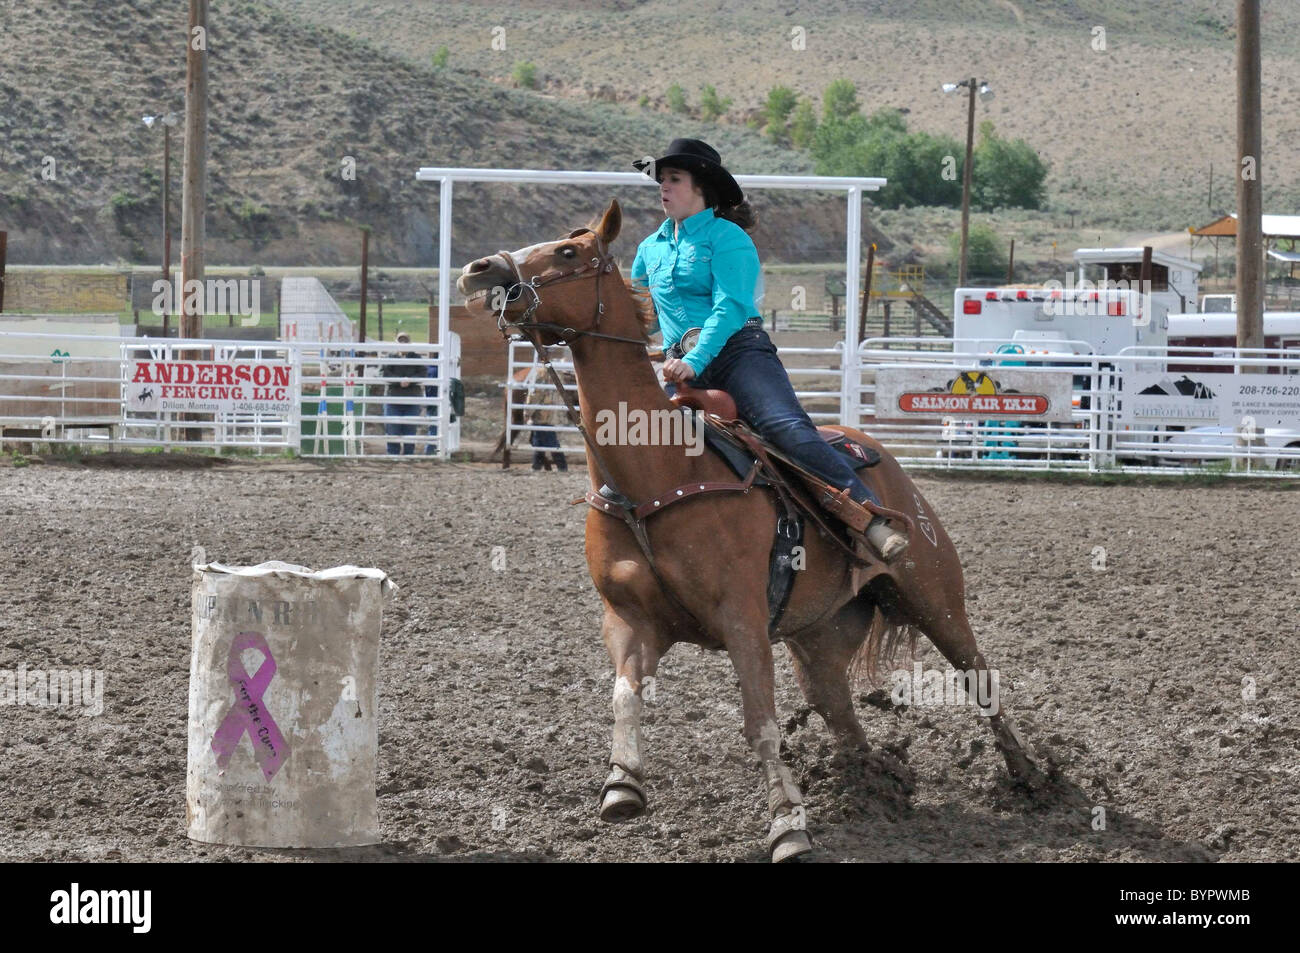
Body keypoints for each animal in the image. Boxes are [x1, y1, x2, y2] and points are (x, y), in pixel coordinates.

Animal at [457, 199, 1042, 862]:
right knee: (838, 708)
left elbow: (759, 721)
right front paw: (623, 786)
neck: (656, 475)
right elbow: (625, 697)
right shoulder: (631, 621)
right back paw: (873, 785)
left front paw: (788, 826)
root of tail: (881, 459)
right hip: (819, 634)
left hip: (935, 596)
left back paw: (1030, 778)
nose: (479, 270)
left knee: (979, 677)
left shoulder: (742, 618)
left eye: (567, 252)